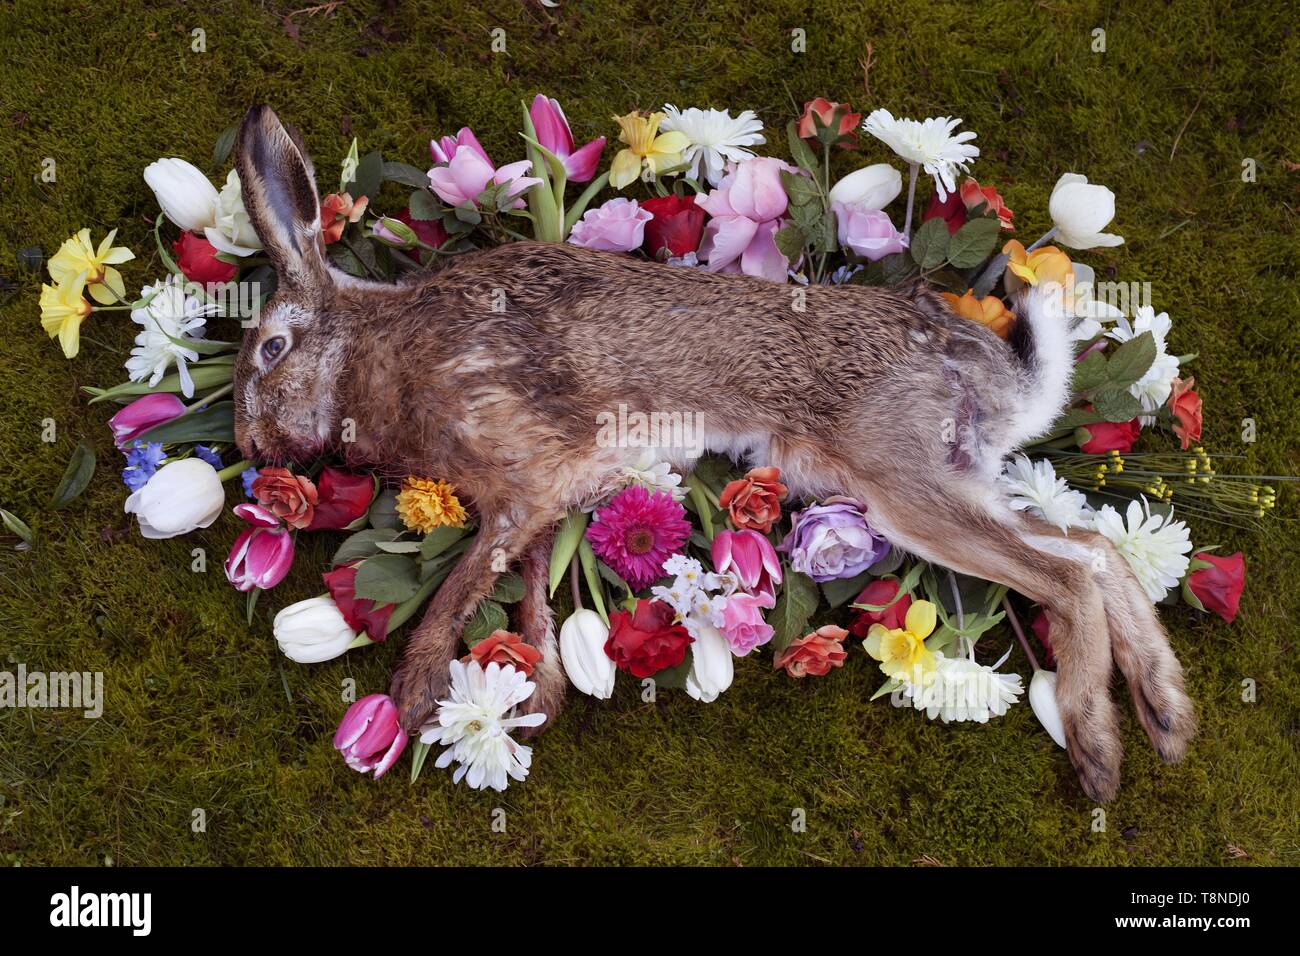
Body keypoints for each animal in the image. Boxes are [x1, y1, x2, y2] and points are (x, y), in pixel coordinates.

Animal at [231, 105, 1195, 802]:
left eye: (271, 349)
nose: (247, 443)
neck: (379, 350)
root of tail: (988, 367)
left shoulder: (518, 480)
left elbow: (463, 588)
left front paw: (412, 695)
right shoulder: (548, 497)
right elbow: (533, 592)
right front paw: (538, 693)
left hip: (904, 486)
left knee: (1066, 578)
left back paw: (1100, 752)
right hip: (952, 482)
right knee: (1096, 550)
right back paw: (1168, 715)